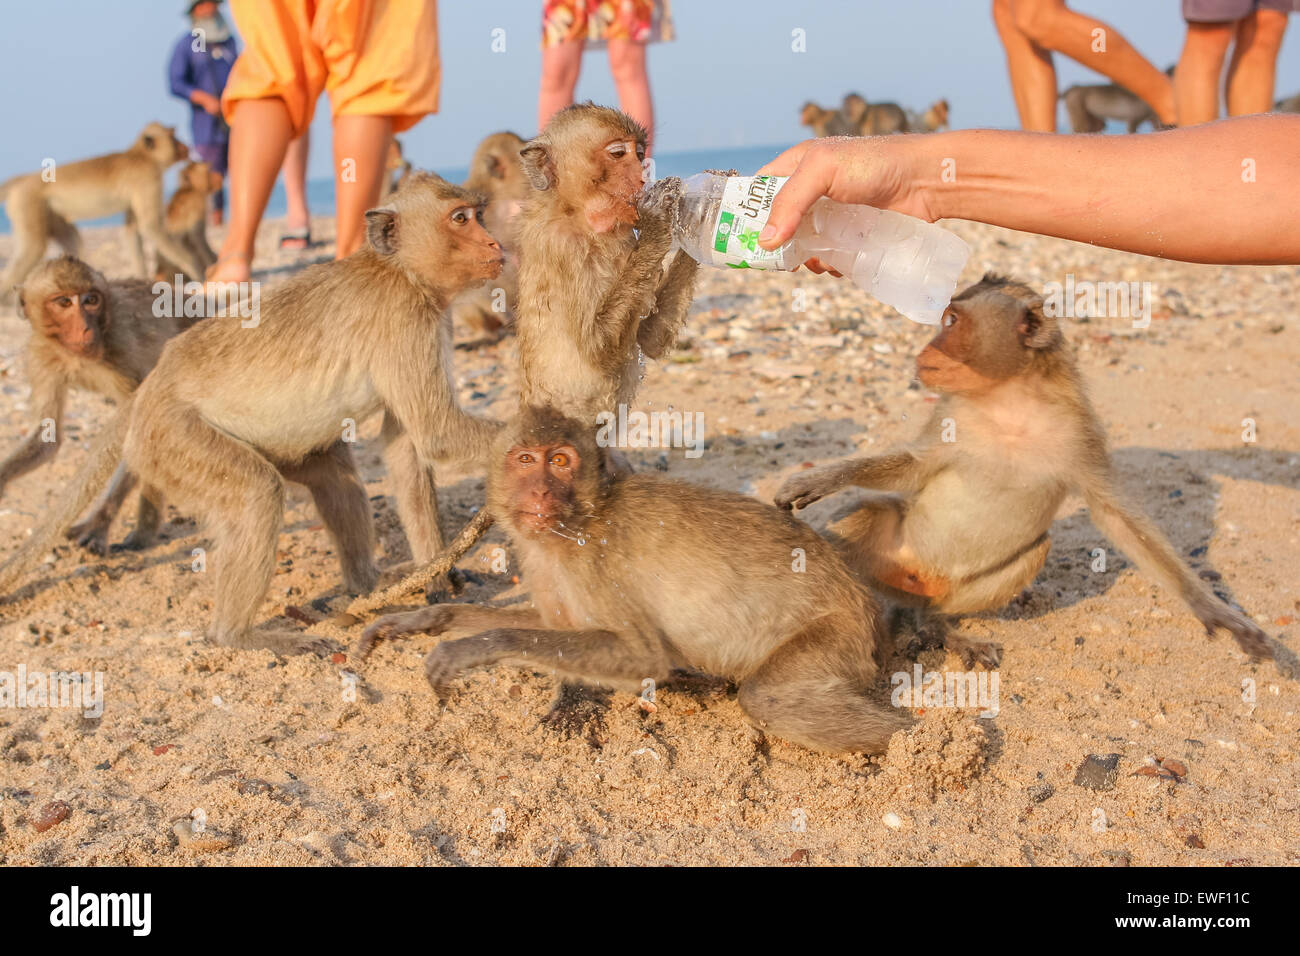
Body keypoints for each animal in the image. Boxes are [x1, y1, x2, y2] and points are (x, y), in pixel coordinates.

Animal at [0, 122, 204, 298]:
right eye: (173, 137)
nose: (185, 146)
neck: (142, 155)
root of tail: (22, 180)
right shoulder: (147, 177)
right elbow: (150, 226)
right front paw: (196, 267)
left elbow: (132, 230)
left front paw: (142, 280)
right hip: (28, 203)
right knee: (32, 250)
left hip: (50, 213)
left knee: (72, 240)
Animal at [0, 256, 198, 555]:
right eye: (63, 302)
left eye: (91, 300)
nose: (84, 328)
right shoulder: (42, 357)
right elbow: (46, 439)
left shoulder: (121, 350)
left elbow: (137, 427)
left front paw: (99, 525)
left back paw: (142, 535)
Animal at [357, 406, 908, 754]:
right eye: (526, 459)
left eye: (560, 461)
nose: (541, 492)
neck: (577, 520)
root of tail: (862, 600)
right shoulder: (547, 564)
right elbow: (550, 624)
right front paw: (425, 618)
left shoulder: (594, 563)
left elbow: (643, 655)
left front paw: (476, 648)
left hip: (840, 636)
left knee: (766, 700)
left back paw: (916, 745)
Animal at [514, 104, 698, 427]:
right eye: (618, 154)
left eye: (639, 153)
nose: (643, 177)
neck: (579, 216)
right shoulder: (564, 247)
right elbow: (597, 349)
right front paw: (659, 219)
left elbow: (649, 339)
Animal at [774, 274, 1273, 665]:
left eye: (951, 322)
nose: (924, 349)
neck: (1009, 400)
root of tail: (921, 581)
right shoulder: (950, 414)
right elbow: (914, 471)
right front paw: (819, 478)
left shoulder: (1079, 432)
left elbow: (1115, 516)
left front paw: (1211, 608)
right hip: (892, 562)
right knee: (868, 512)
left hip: (949, 586)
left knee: (1034, 550)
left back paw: (937, 625)